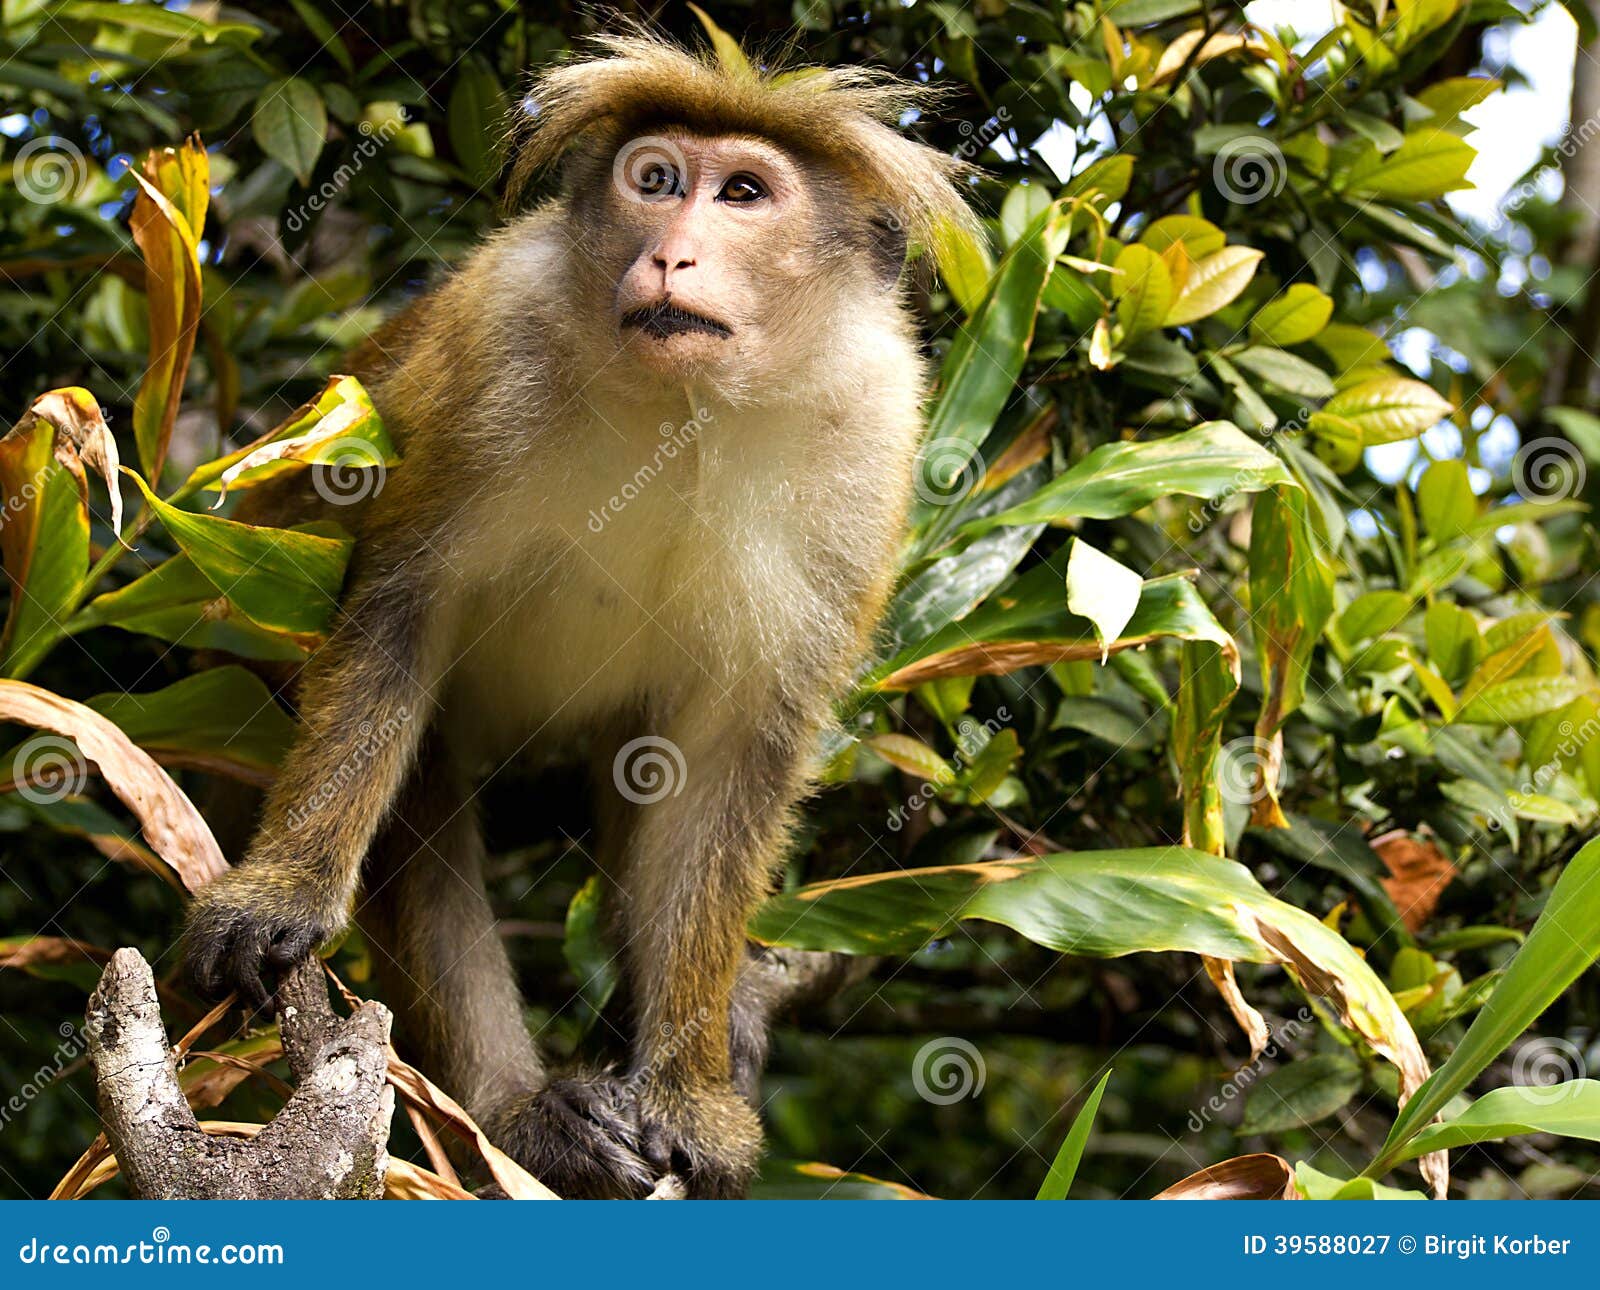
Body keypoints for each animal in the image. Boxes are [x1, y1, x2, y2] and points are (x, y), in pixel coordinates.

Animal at [182, 28, 980, 1199]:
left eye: (744, 193)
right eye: (655, 180)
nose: (671, 255)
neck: (689, 408)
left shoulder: (873, 435)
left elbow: (727, 755)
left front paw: (690, 1092)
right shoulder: (497, 345)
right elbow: (400, 615)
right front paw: (278, 896)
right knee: (418, 792)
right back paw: (521, 1116)